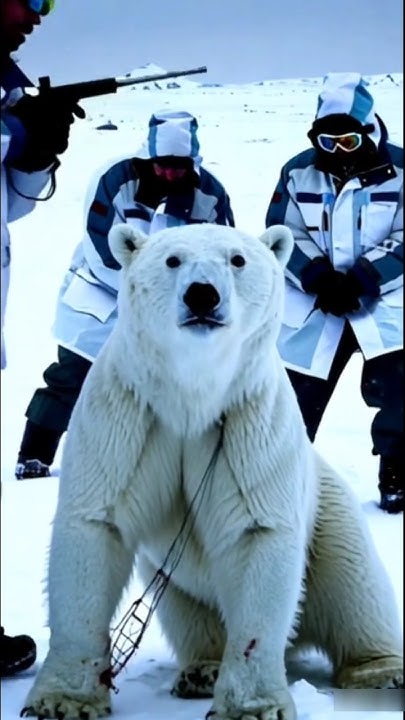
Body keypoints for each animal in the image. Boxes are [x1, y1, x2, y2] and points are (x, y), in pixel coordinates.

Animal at [23, 222, 403, 720]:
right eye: (172, 260)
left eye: (237, 259)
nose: (202, 295)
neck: (192, 396)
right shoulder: (129, 414)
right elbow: (95, 527)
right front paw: (62, 700)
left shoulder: (248, 423)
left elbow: (256, 533)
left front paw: (253, 707)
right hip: (172, 581)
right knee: (191, 611)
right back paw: (202, 670)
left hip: (328, 506)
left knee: (352, 581)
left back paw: (379, 671)